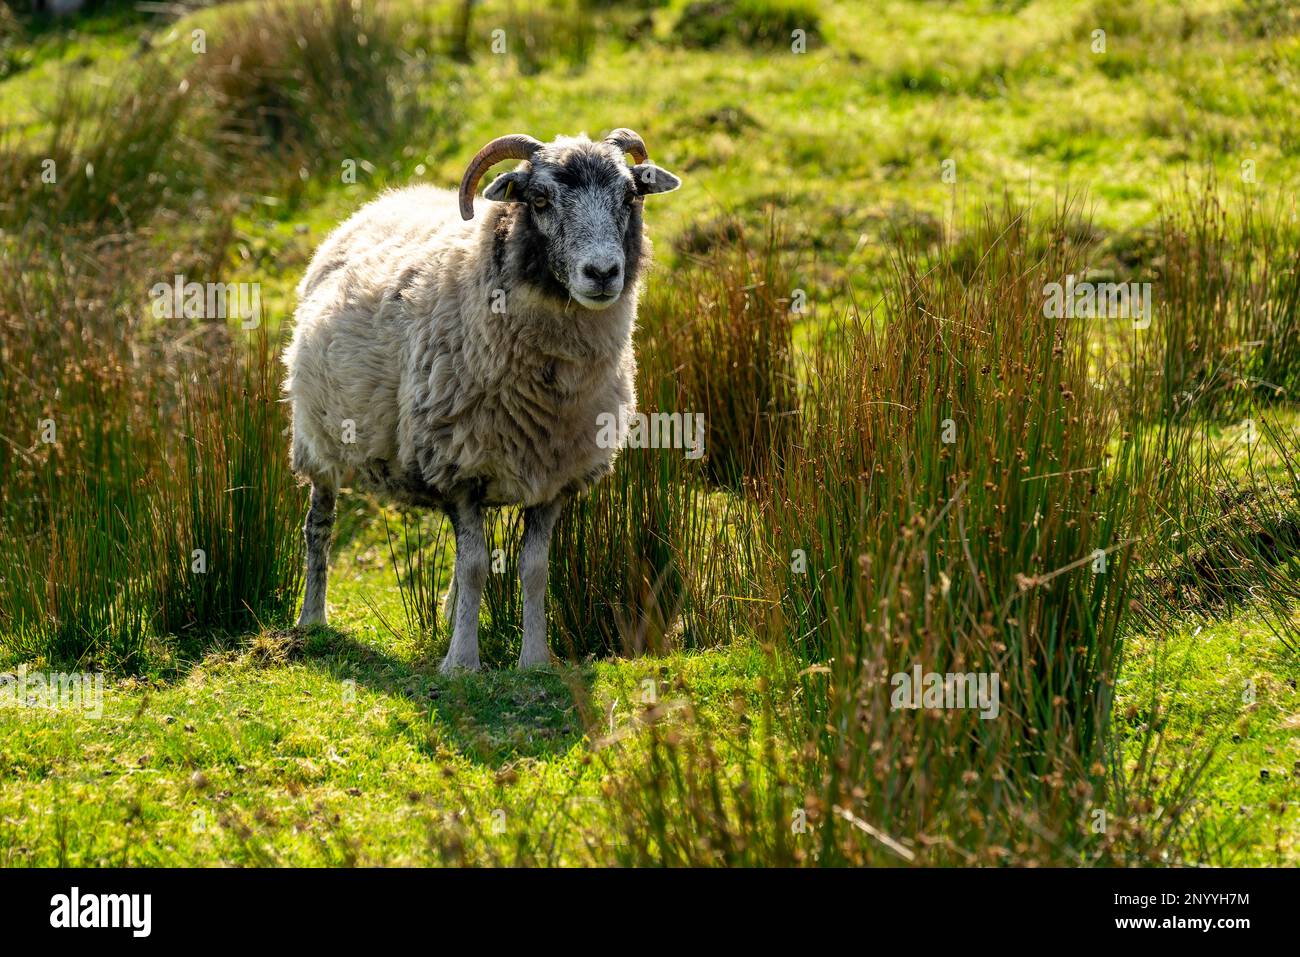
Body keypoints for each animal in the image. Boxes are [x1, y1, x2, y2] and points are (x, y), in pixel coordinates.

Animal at [282, 129, 682, 673]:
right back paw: (312, 620)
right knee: (319, 528)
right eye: (540, 199)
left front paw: (534, 659)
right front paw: (461, 664)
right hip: (316, 438)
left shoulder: (554, 478)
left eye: (629, 197)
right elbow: (474, 567)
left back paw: (450, 616)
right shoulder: (456, 469)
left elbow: (533, 569)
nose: (602, 273)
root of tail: (387, 199)